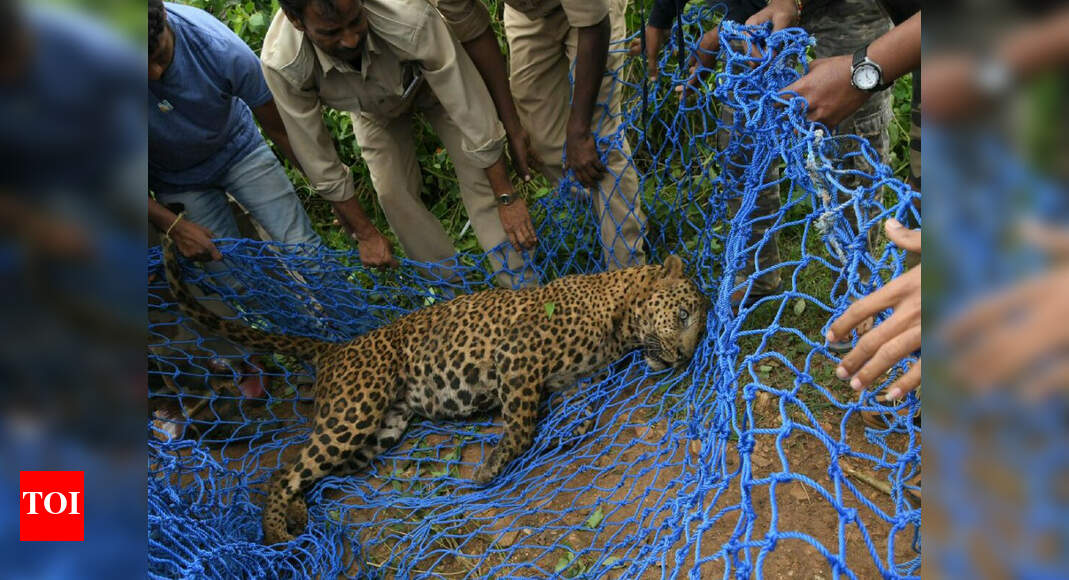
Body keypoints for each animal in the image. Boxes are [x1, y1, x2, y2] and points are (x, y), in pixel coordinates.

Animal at [161, 239, 709, 545]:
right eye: (684, 315)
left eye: (699, 329)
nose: (685, 358)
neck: (620, 320)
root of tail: (335, 349)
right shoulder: (518, 360)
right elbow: (521, 428)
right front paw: (492, 466)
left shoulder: (558, 376)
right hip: (356, 410)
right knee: (284, 471)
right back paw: (276, 534)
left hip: (379, 432)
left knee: (306, 471)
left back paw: (296, 514)